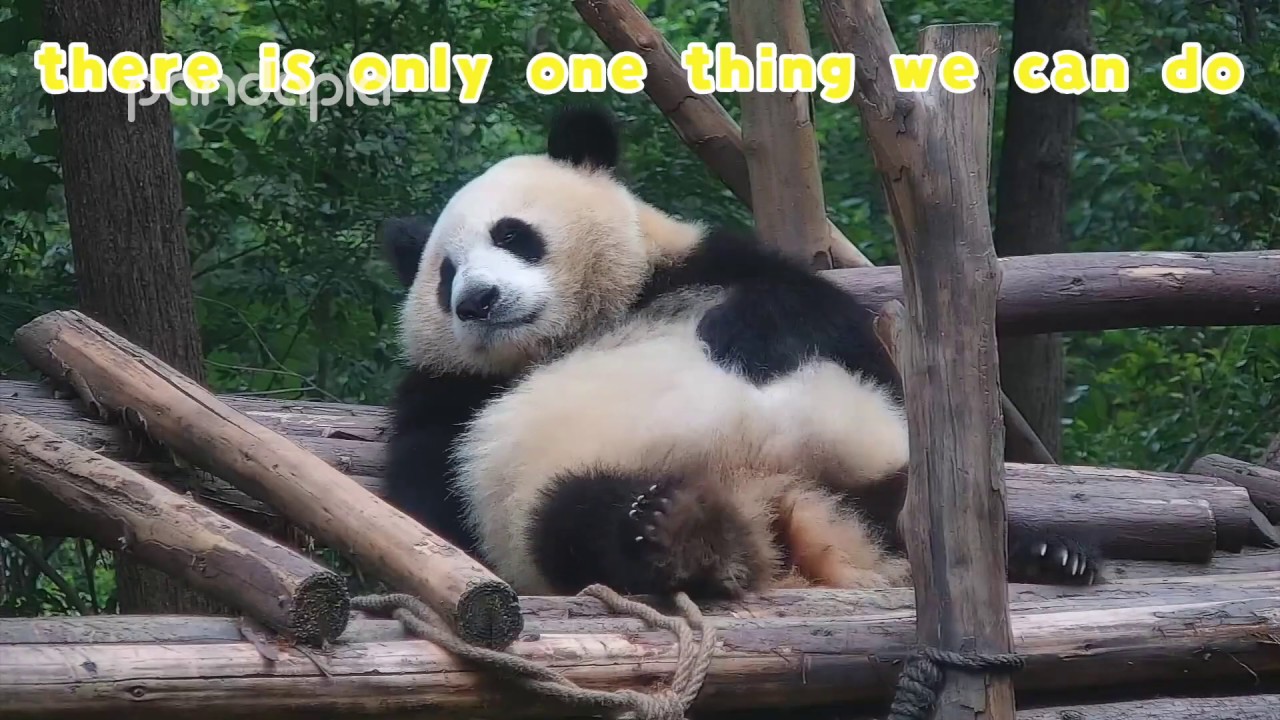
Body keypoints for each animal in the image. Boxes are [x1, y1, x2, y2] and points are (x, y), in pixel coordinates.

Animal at [381, 105, 1101, 598]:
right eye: (445, 275)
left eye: (512, 234)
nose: (477, 300)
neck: (578, 329)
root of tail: (777, 505)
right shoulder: (448, 401)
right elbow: (435, 512)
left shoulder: (694, 266)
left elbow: (823, 315)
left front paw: (738, 334)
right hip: (555, 481)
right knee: (573, 519)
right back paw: (679, 531)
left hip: (863, 455)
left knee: (923, 500)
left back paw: (1041, 553)